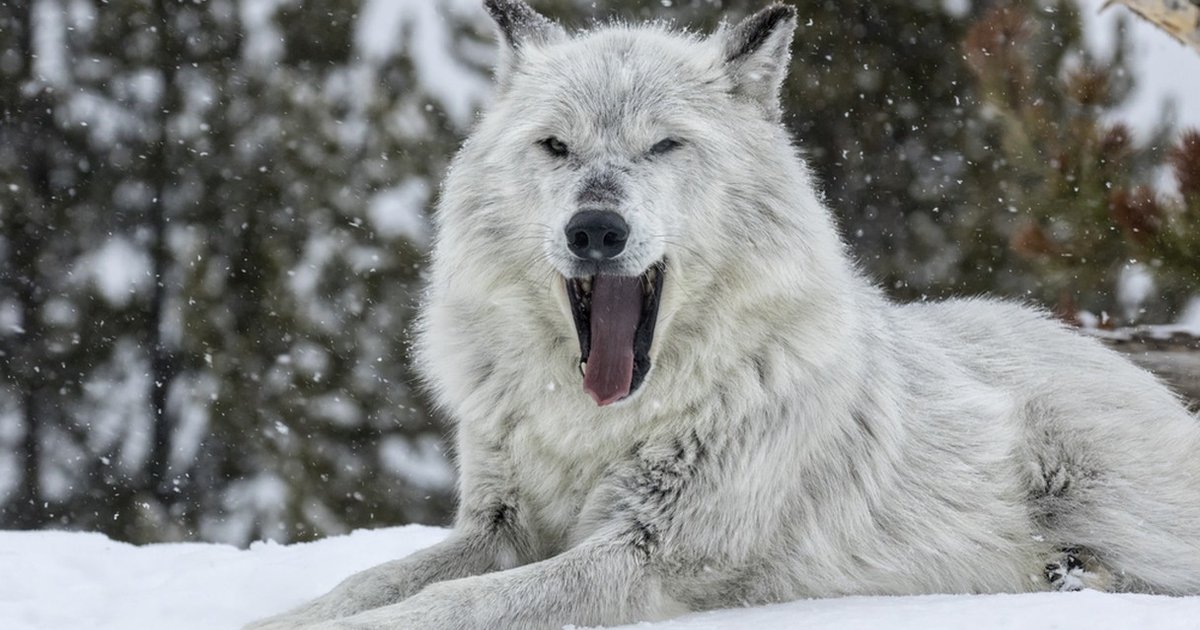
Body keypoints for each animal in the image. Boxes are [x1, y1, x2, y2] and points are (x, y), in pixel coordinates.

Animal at [249, 1, 1200, 628]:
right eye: (556, 145)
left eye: (663, 145)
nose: (595, 229)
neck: (595, 424)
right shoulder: (497, 525)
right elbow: (363, 586)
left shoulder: (648, 555)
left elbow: (448, 605)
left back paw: (1071, 580)